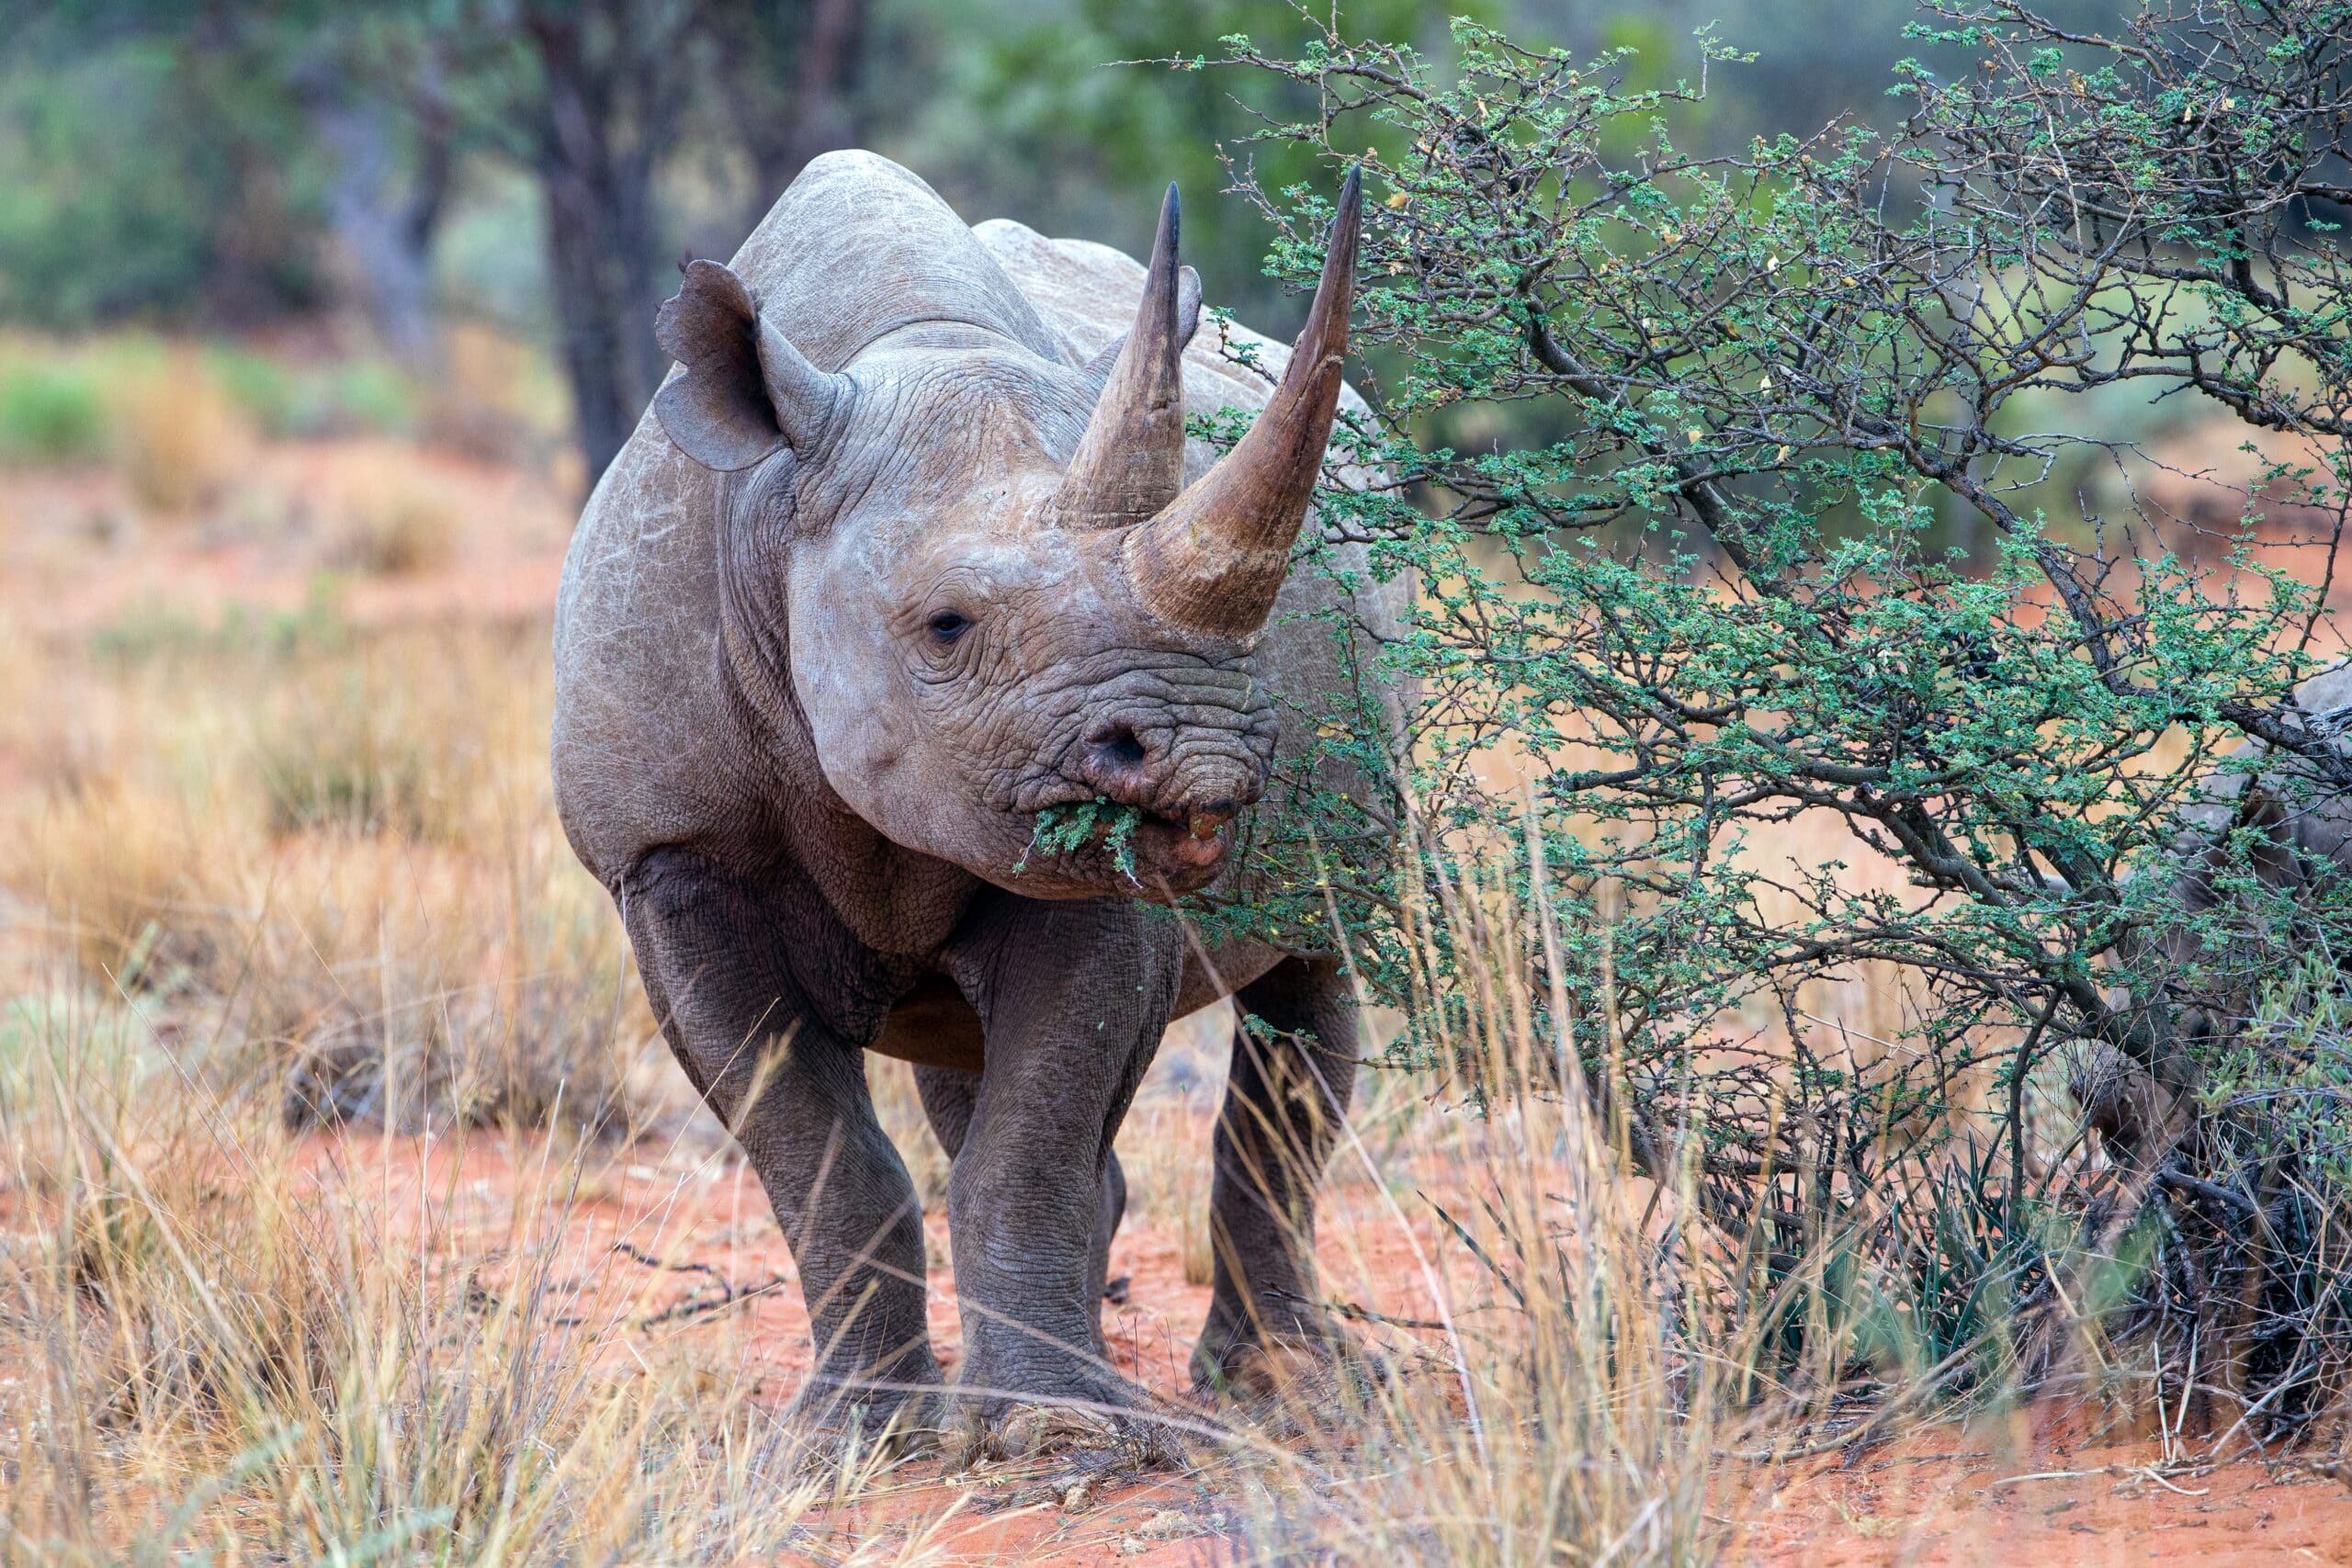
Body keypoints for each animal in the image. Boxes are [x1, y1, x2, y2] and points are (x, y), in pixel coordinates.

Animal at [551, 151, 1402, 1457]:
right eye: (946, 627)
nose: (1203, 759)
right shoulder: (667, 860)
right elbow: (817, 1154)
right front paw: (856, 1435)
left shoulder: (1092, 868)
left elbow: (1029, 1144)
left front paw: (1057, 1434)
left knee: (1309, 976)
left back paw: (1280, 1386)